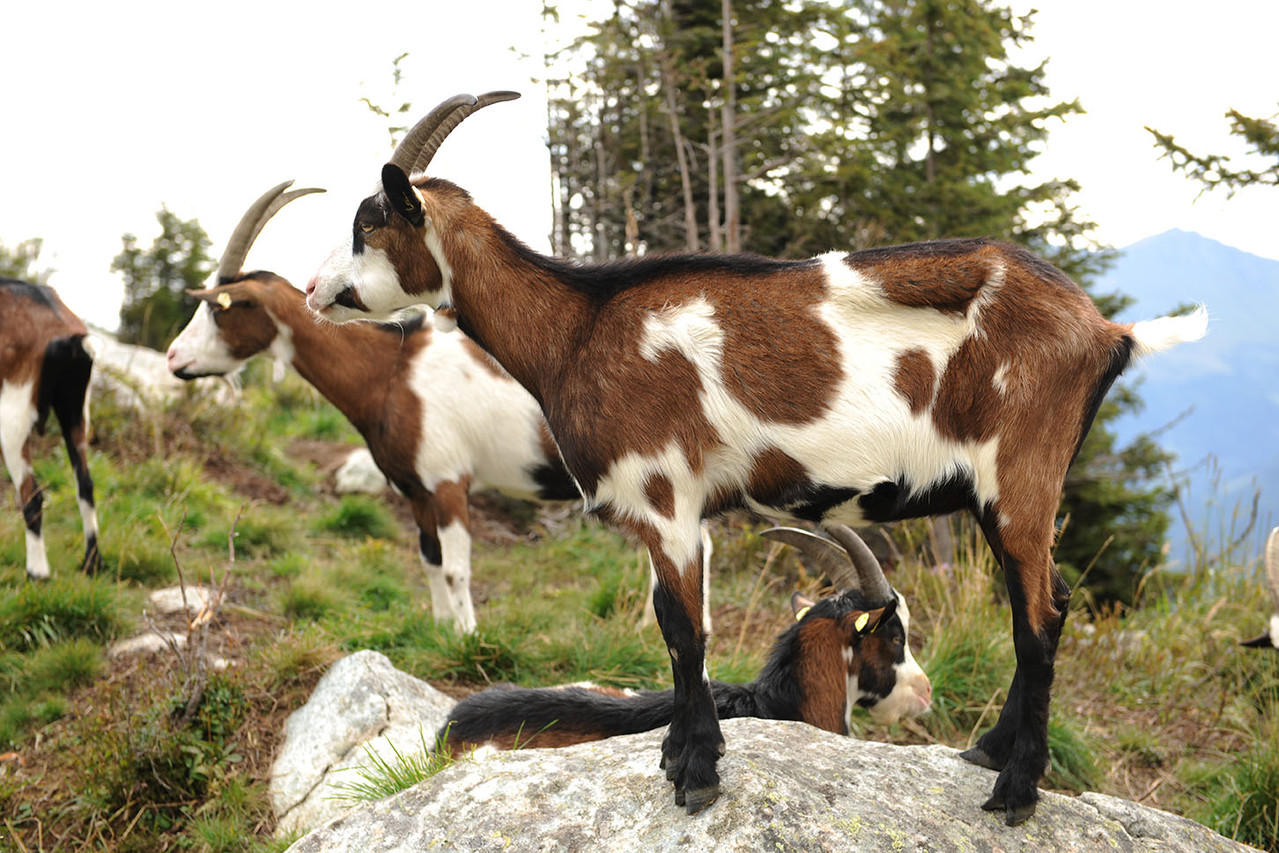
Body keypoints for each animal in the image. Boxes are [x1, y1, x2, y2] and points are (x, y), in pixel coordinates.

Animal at [1, 278, 100, 579]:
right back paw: (92, 562)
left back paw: (38, 572)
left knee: (32, 496)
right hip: (76, 412)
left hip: (13, 415)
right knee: (85, 484)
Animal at [166, 181, 581, 633]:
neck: (391, 369)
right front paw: (443, 631)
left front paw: (470, 637)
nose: (172, 357)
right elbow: (431, 561)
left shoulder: (449, 483)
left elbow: (456, 571)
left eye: (219, 307)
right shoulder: (415, 489)